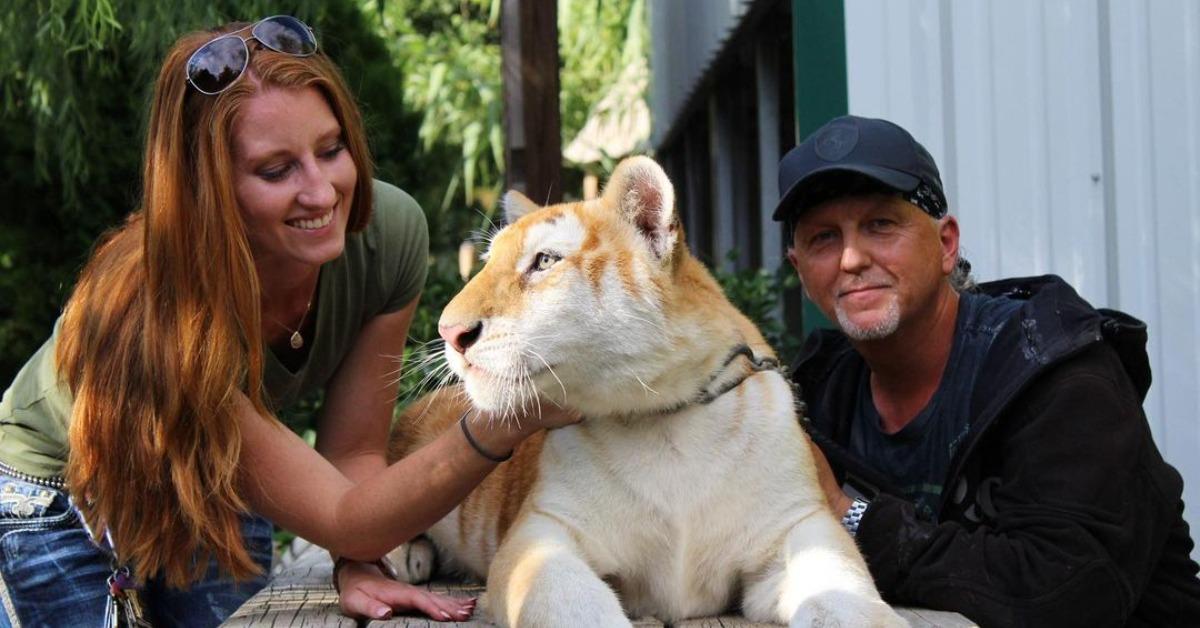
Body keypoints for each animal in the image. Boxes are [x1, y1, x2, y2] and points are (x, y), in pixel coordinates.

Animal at [386, 156, 905, 627]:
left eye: (545, 261)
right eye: (488, 261)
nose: (448, 331)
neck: (665, 420)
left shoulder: (797, 527)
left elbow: (847, 602)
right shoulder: (543, 533)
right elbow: (569, 603)